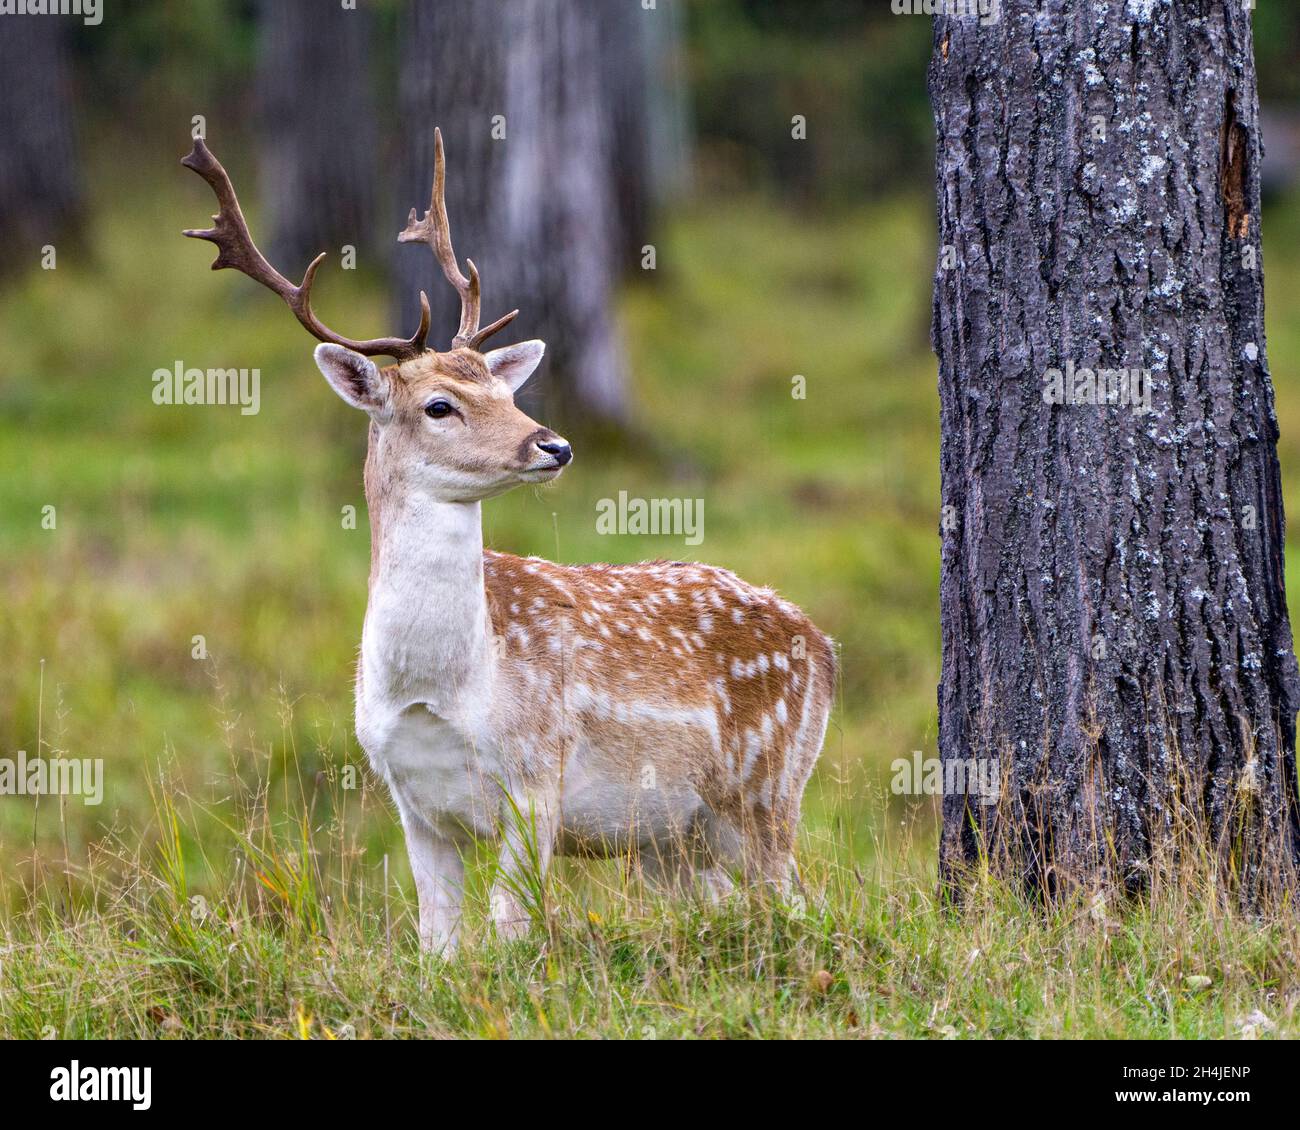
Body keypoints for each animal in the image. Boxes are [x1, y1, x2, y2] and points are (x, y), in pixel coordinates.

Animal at [182, 130, 836, 954]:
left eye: (506, 391)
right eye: (439, 405)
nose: (552, 444)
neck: (442, 689)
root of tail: (824, 645)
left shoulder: (537, 774)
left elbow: (508, 927)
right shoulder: (410, 799)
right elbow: (436, 940)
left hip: (767, 786)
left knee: (801, 897)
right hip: (670, 836)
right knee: (728, 900)